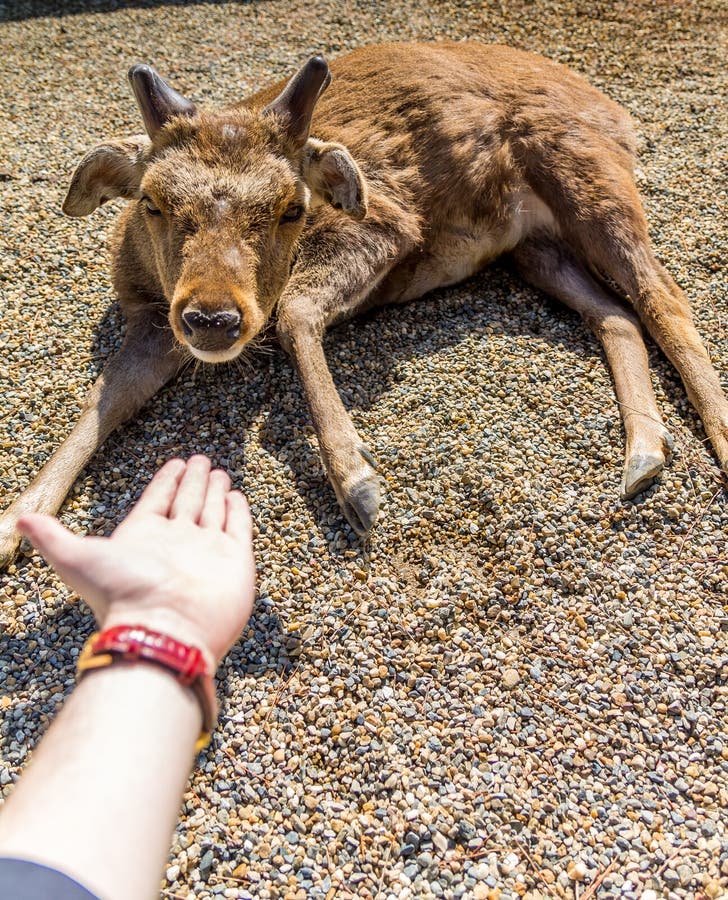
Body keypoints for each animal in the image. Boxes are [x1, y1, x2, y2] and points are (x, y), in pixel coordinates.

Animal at [1, 42, 726, 567]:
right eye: (151, 200)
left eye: (293, 207)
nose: (213, 318)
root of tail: (618, 114)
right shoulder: (152, 320)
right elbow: (103, 404)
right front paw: (15, 525)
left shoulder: (386, 225)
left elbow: (293, 313)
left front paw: (359, 484)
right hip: (532, 245)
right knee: (615, 313)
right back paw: (644, 452)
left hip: (588, 172)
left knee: (664, 297)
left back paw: (712, 437)